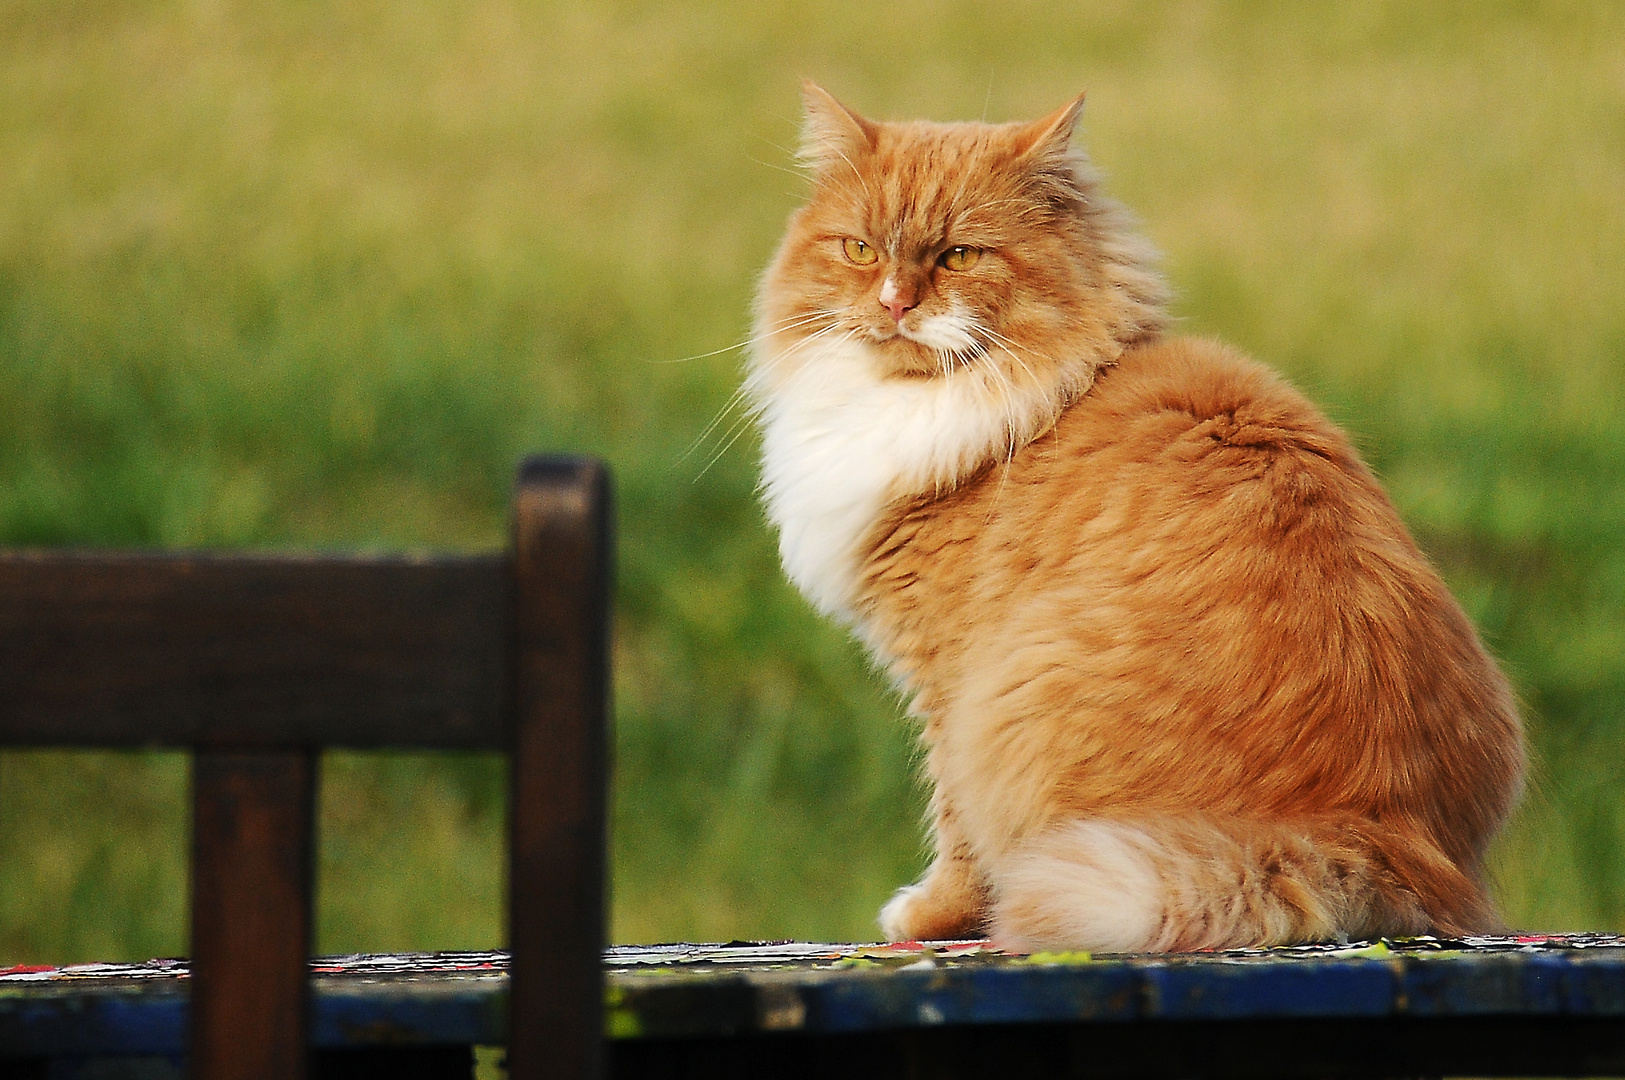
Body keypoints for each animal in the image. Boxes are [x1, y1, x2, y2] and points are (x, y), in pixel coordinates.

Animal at [744, 84, 1527, 948]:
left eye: (959, 256)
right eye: (858, 250)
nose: (893, 304)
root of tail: (1374, 827)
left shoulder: (949, 678)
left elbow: (953, 823)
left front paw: (930, 915)